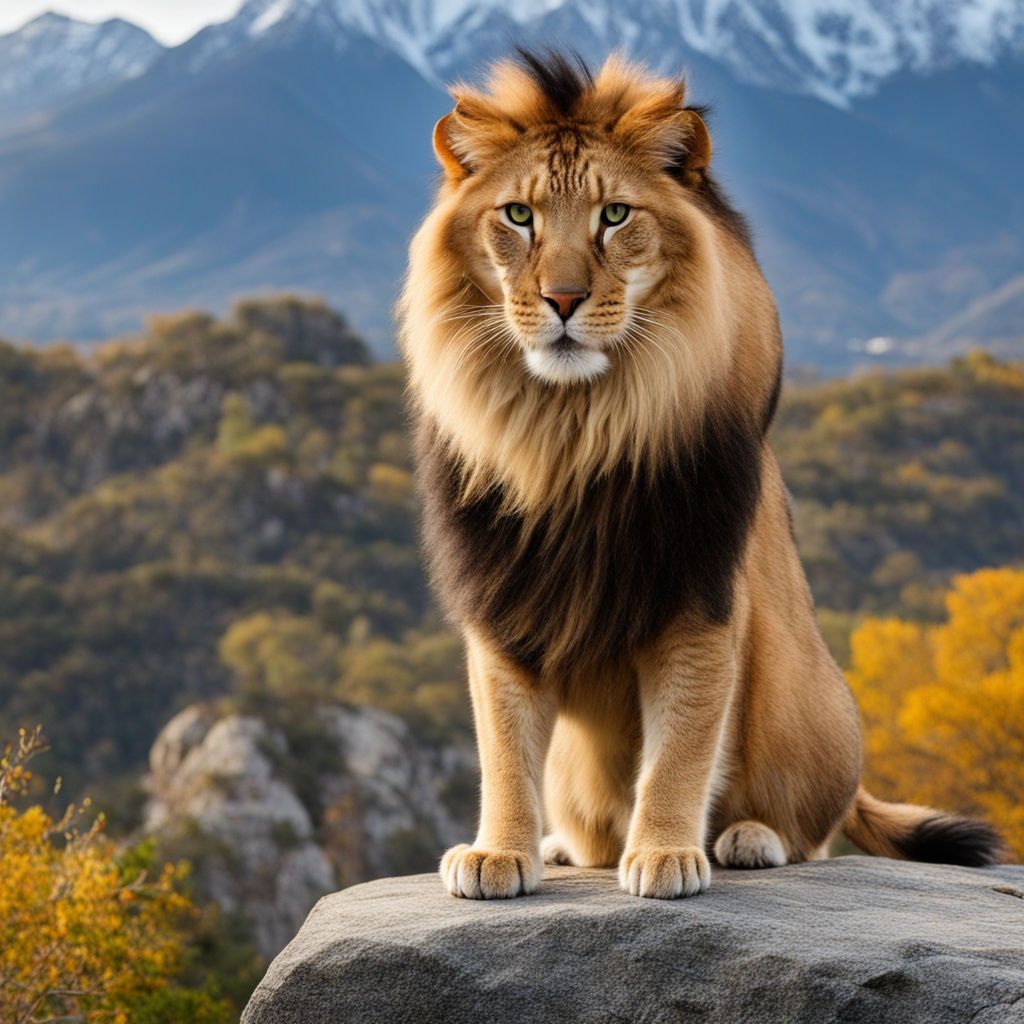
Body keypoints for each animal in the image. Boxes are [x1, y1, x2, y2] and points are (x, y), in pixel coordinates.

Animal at [398, 50, 1002, 900]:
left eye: (615, 216)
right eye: (517, 216)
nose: (561, 299)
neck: (570, 430)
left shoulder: (703, 591)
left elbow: (682, 741)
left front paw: (663, 854)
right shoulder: (502, 597)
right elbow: (505, 744)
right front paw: (499, 852)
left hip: (799, 688)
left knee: (812, 828)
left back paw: (750, 838)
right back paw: (565, 845)